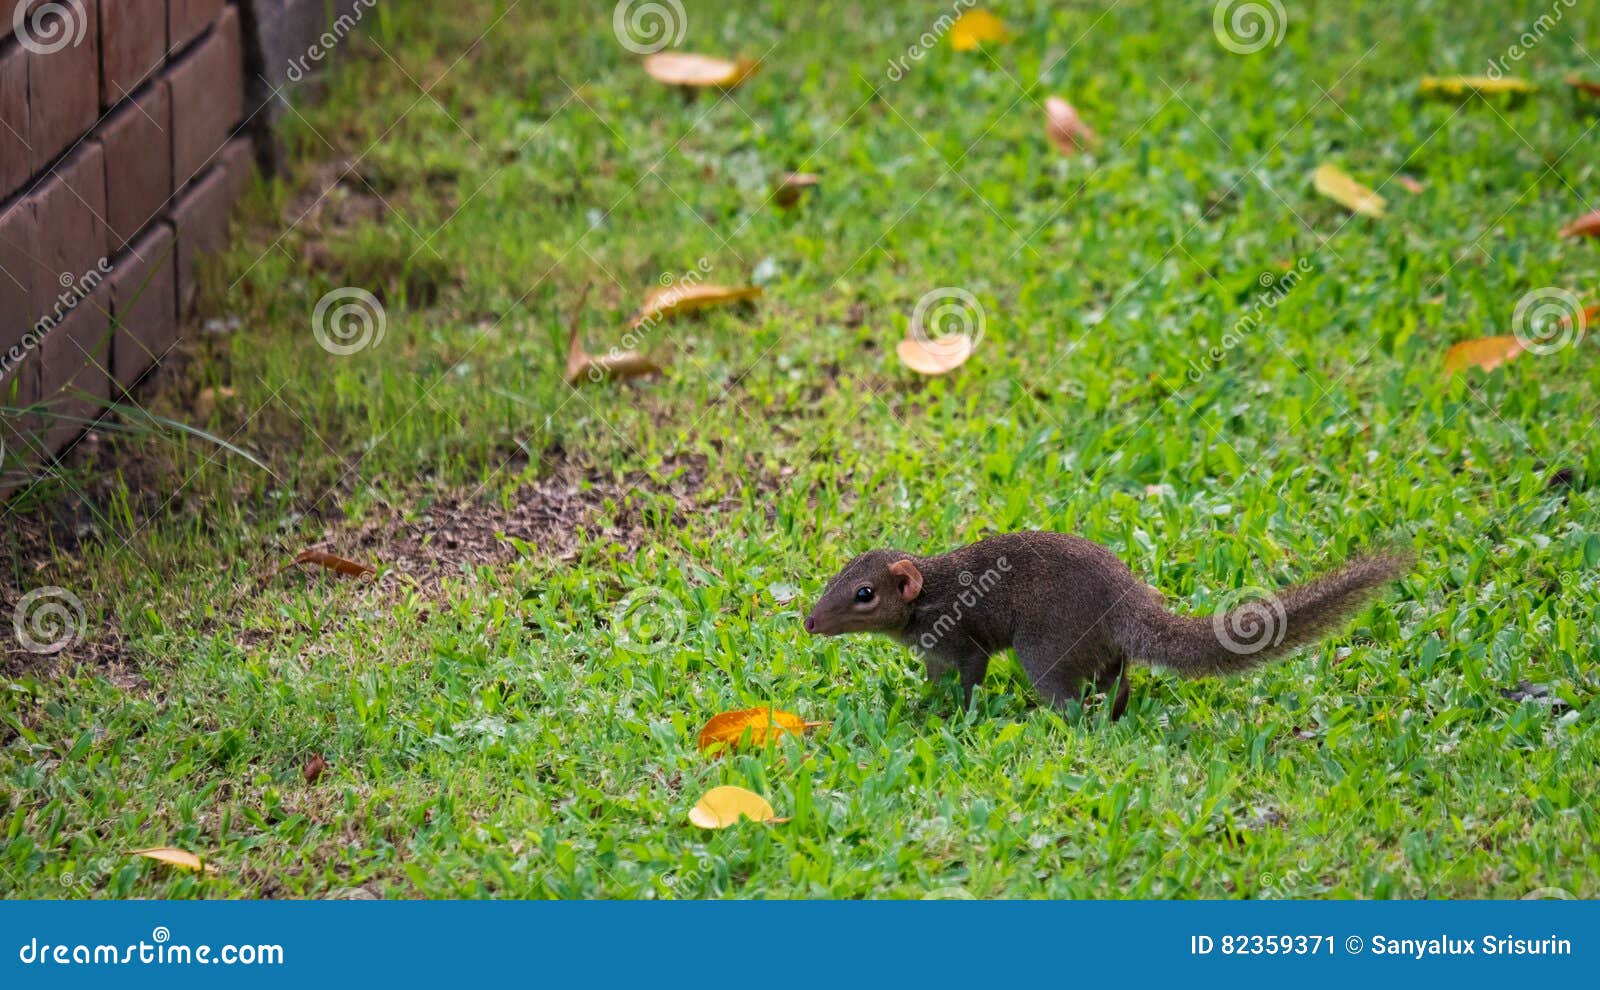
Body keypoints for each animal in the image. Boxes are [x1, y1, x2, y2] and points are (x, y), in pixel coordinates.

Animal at [803, 531, 1410, 719]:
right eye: (835, 577)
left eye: (863, 594)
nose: (808, 621)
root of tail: (1130, 596)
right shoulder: (934, 652)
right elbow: (933, 680)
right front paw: (923, 704)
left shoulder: (963, 641)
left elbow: (970, 679)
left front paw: (958, 714)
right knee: (1117, 673)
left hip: (1041, 648)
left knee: (1071, 697)